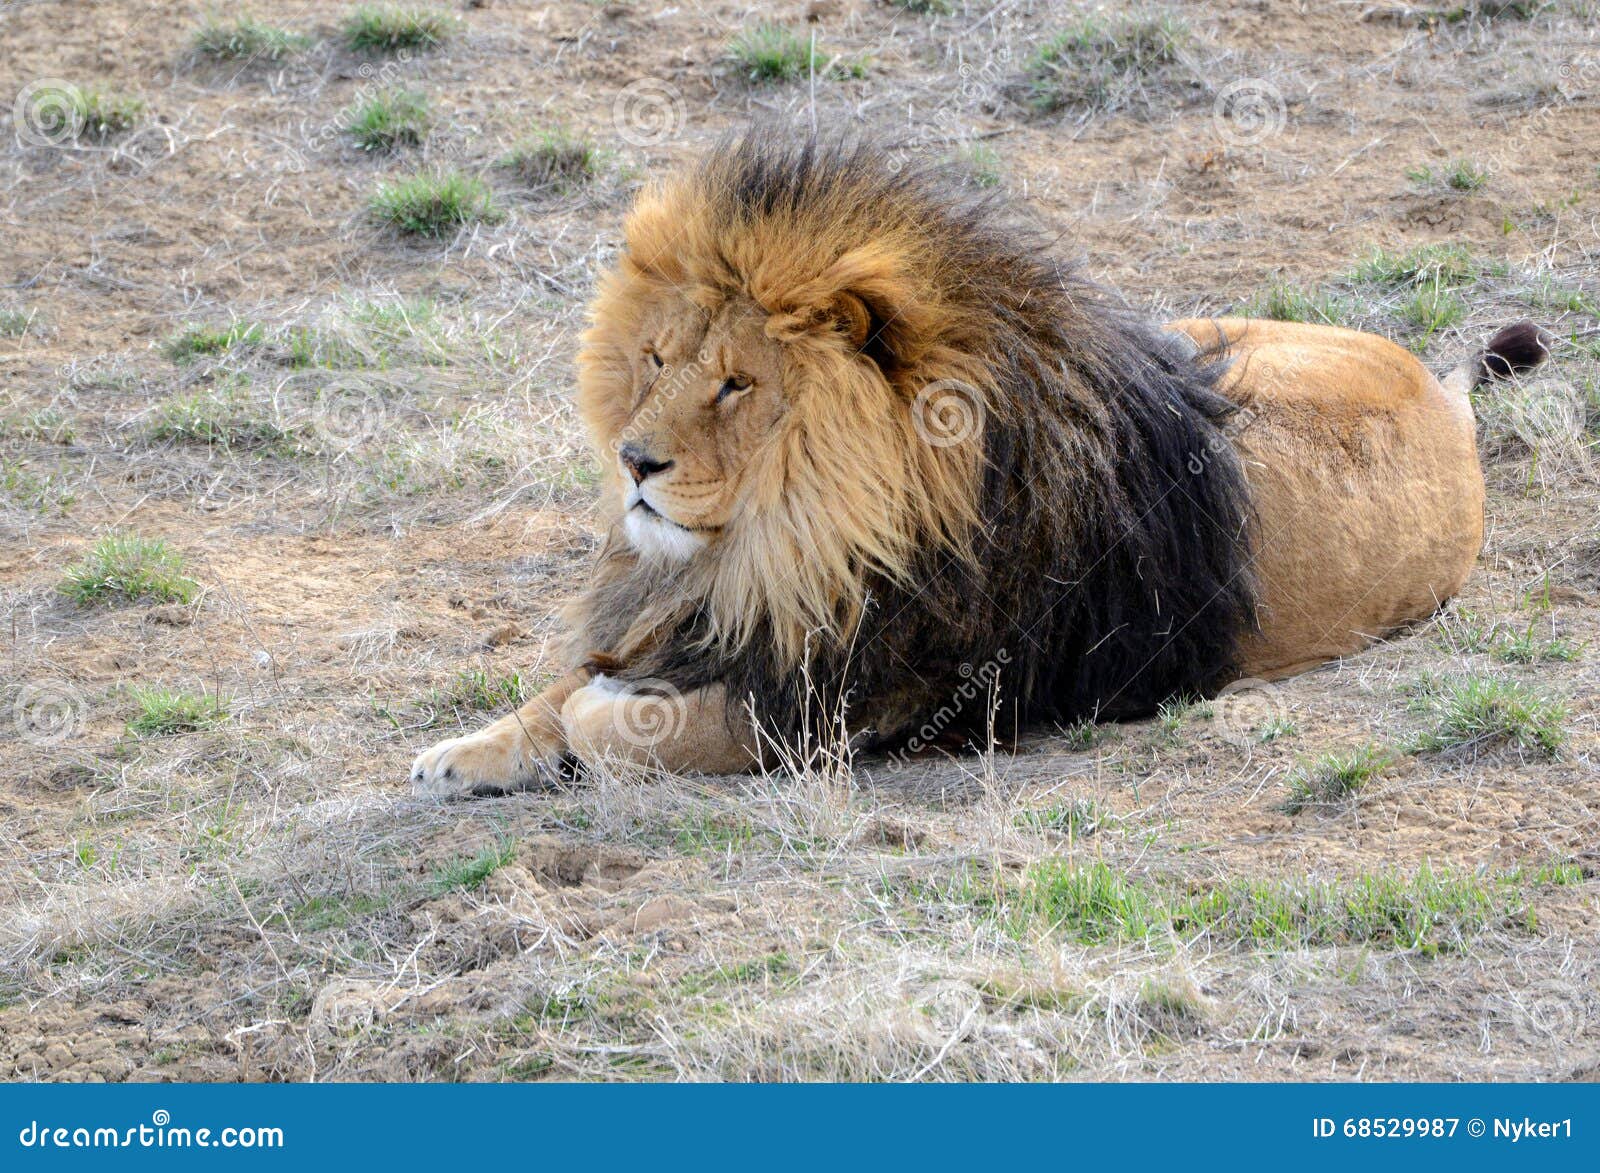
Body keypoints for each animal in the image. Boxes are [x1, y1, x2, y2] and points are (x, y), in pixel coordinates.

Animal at [411, 134, 1549, 797]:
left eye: (735, 384)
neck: (779, 543)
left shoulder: (850, 703)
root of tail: (1438, 393)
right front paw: (459, 751)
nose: (633, 460)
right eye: (653, 360)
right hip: (1205, 339)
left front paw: (599, 720)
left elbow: (634, 730)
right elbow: (559, 688)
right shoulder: (695, 616)